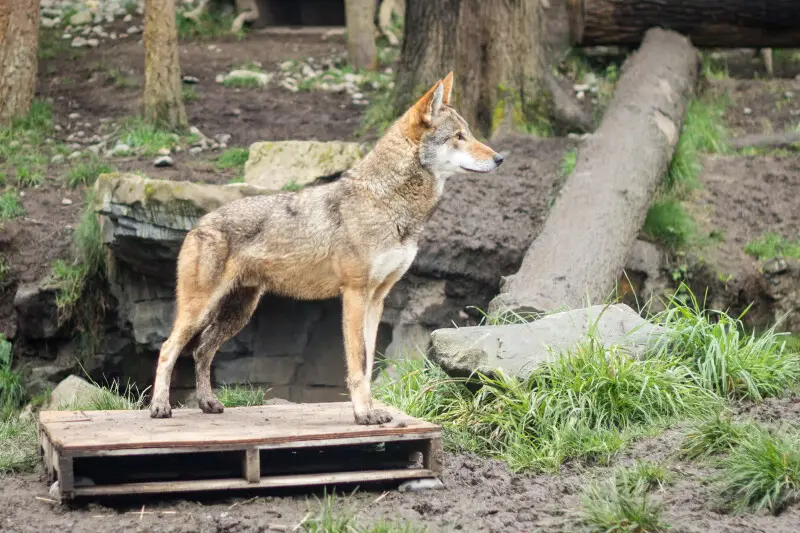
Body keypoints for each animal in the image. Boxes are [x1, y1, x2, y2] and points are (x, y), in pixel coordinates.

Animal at [149, 72, 505, 424]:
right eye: (458, 136)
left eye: (469, 134)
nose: (500, 158)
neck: (388, 203)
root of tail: (198, 223)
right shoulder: (354, 295)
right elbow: (358, 362)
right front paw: (363, 414)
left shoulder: (377, 300)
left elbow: (369, 362)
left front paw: (372, 411)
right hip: (201, 310)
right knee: (168, 348)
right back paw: (160, 407)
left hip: (236, 314)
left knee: (201, 350)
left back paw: (207, 403)